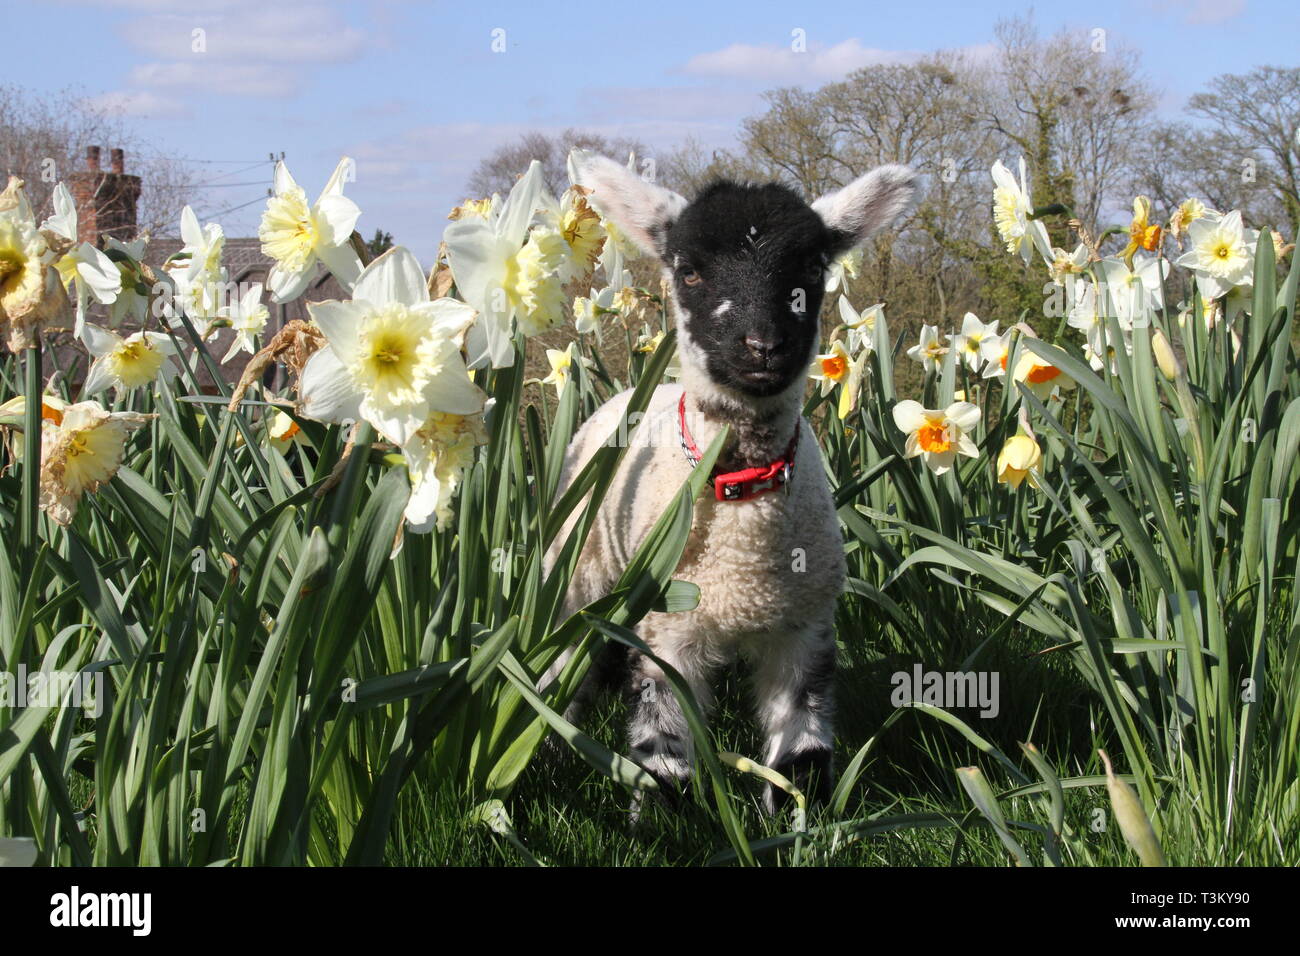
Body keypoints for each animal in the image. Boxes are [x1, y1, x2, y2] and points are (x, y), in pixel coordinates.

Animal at [542, 153, 918, 815]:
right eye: (689, 272)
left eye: (813, 269)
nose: (764, 346)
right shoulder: (669, 633)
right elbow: (662, 756)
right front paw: (659, 823)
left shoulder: (804, 628)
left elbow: (801, 752)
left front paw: (805, 820)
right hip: (578, 571)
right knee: (566, 666)